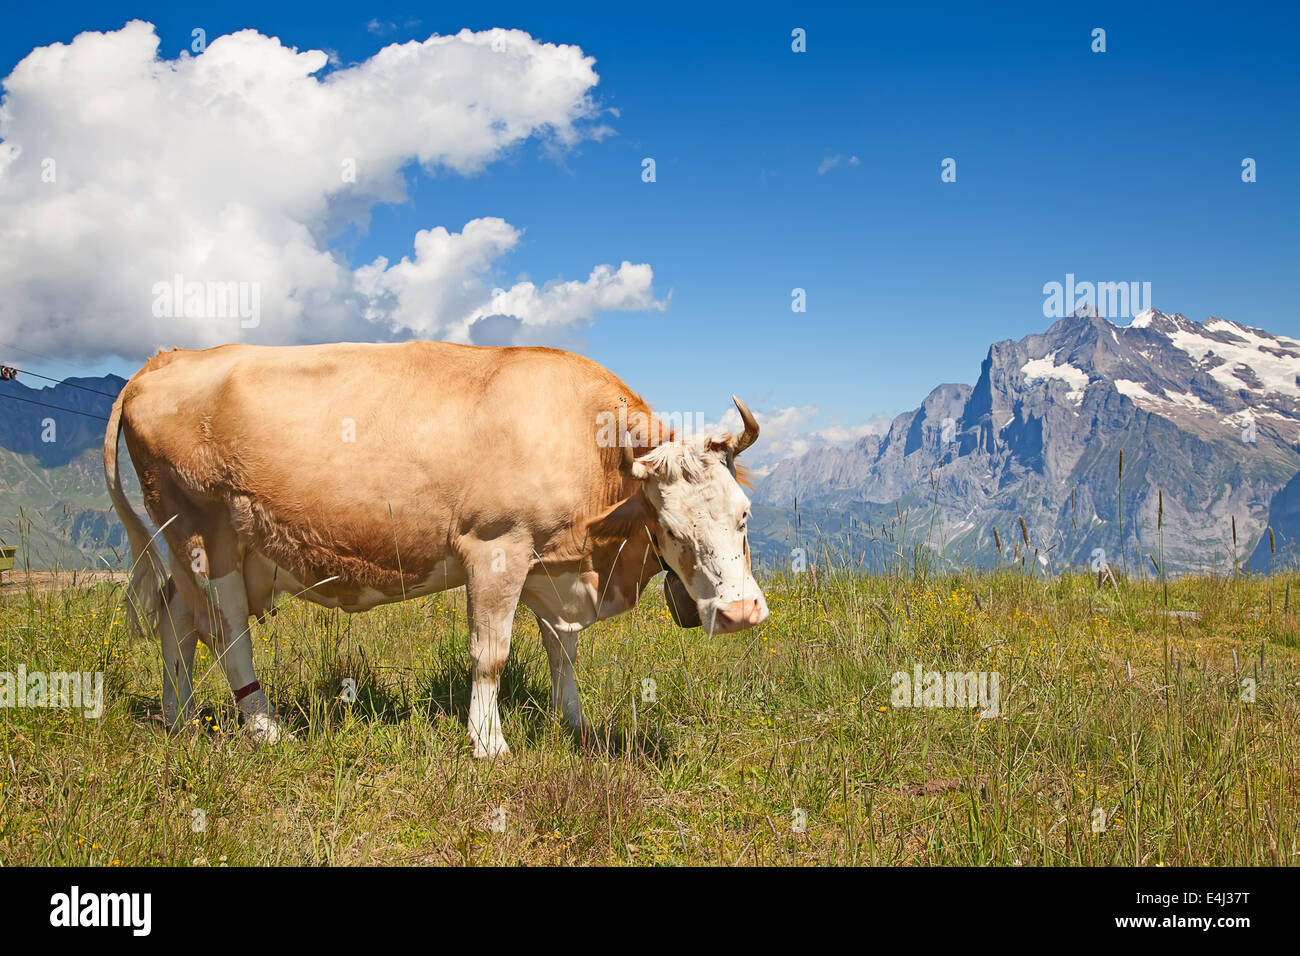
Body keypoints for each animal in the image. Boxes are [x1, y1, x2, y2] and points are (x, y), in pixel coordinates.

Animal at [104, 341, 768, 756]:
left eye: (743, 515)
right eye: (673, 531)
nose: (740, 614)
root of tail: (164, 360)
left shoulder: (550, 564)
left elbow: (563, 650)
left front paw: (573, 722)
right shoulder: (497, 548)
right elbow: (490, 654)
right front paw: (489, 744)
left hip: (193, 543)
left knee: (176, 623)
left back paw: (179, 719)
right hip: (205, 534)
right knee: (225, 634)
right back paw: (267, 729)